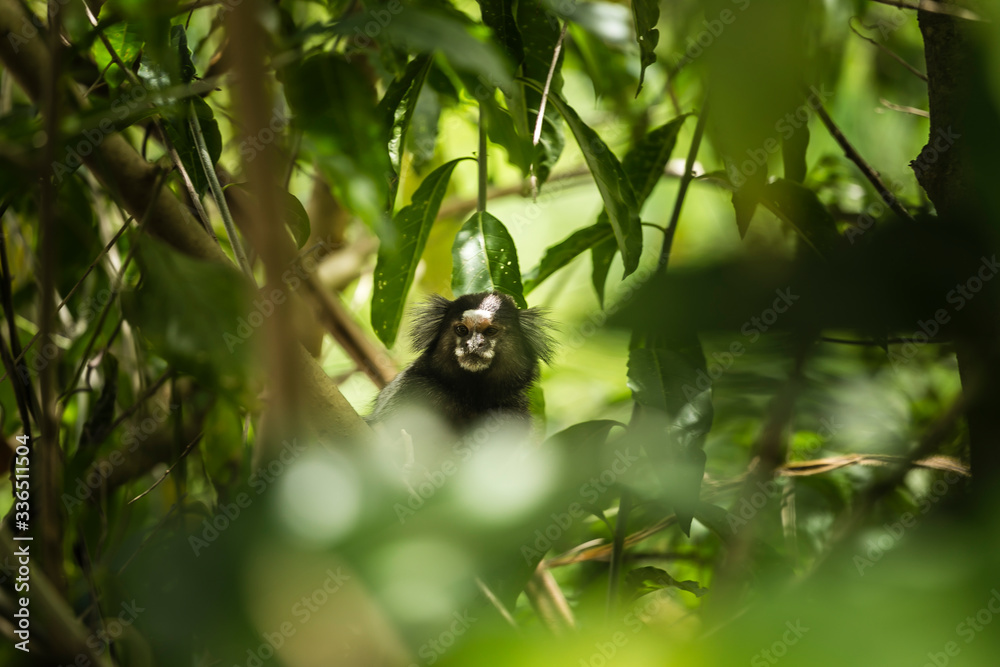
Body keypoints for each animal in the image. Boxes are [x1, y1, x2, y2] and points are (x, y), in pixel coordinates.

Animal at [368, 291, 555, 431]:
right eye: (462, 330)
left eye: (490, 331)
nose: (473, 344)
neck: (470, 396)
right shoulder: (412, 388)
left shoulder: (512, 414)